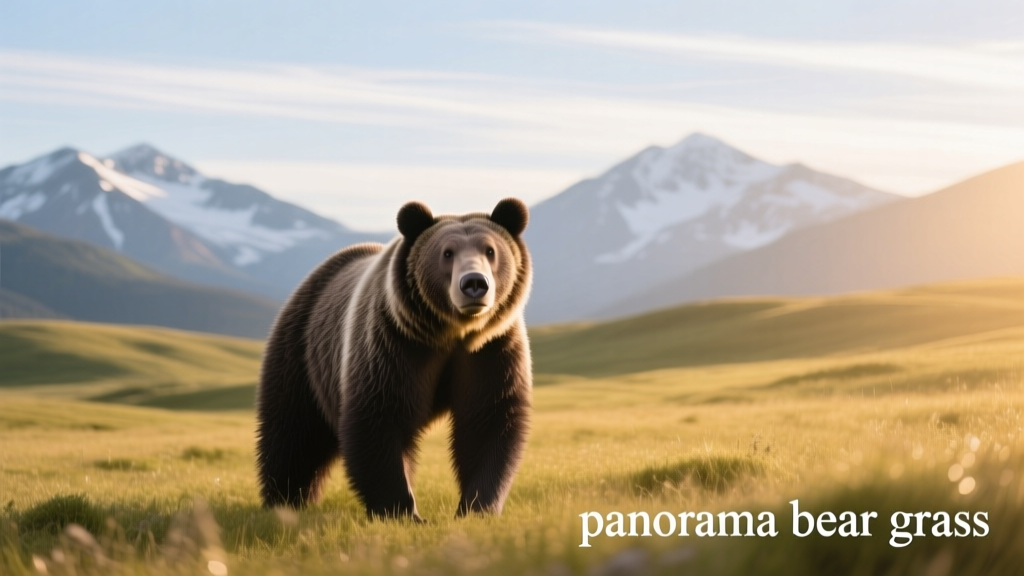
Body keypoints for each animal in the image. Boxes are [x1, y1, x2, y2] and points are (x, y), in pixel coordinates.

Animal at [255, 198, 532, 521]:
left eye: (490, 250)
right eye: (447, 252)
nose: (474, 283)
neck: (452, 333)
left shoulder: (491, 351)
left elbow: (488, 420)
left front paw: (477, 507)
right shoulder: (394, 345)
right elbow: (379, 418)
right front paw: (402, 511)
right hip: (302, 354)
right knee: (293, 433)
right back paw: (284, 499)